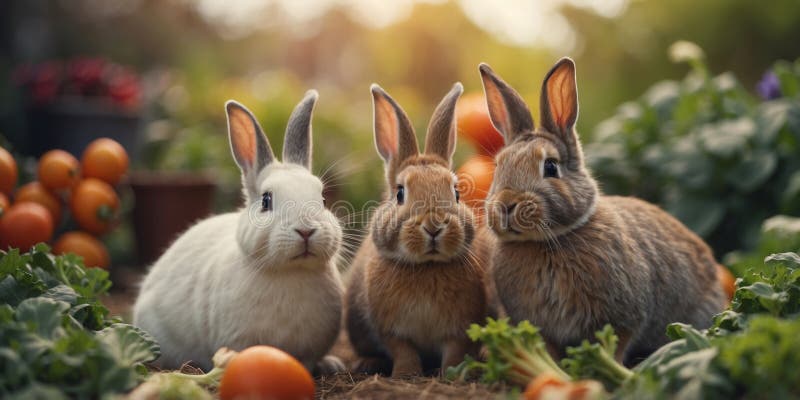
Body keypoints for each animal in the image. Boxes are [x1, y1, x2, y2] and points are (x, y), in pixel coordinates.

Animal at [344, 83, 495, 378]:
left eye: (456, 192)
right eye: (400, 193)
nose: (433, 225)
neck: (427, 267)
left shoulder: (460, 329)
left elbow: (454, 351)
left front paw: (453, 373)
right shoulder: (392, 331)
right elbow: (404, 351)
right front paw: (406, 374)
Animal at [477, 58, 727, 365]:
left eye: (550, 166)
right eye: (498, 166)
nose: (506, 204)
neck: (546, 243)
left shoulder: (622, 317)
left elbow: (617, 343)